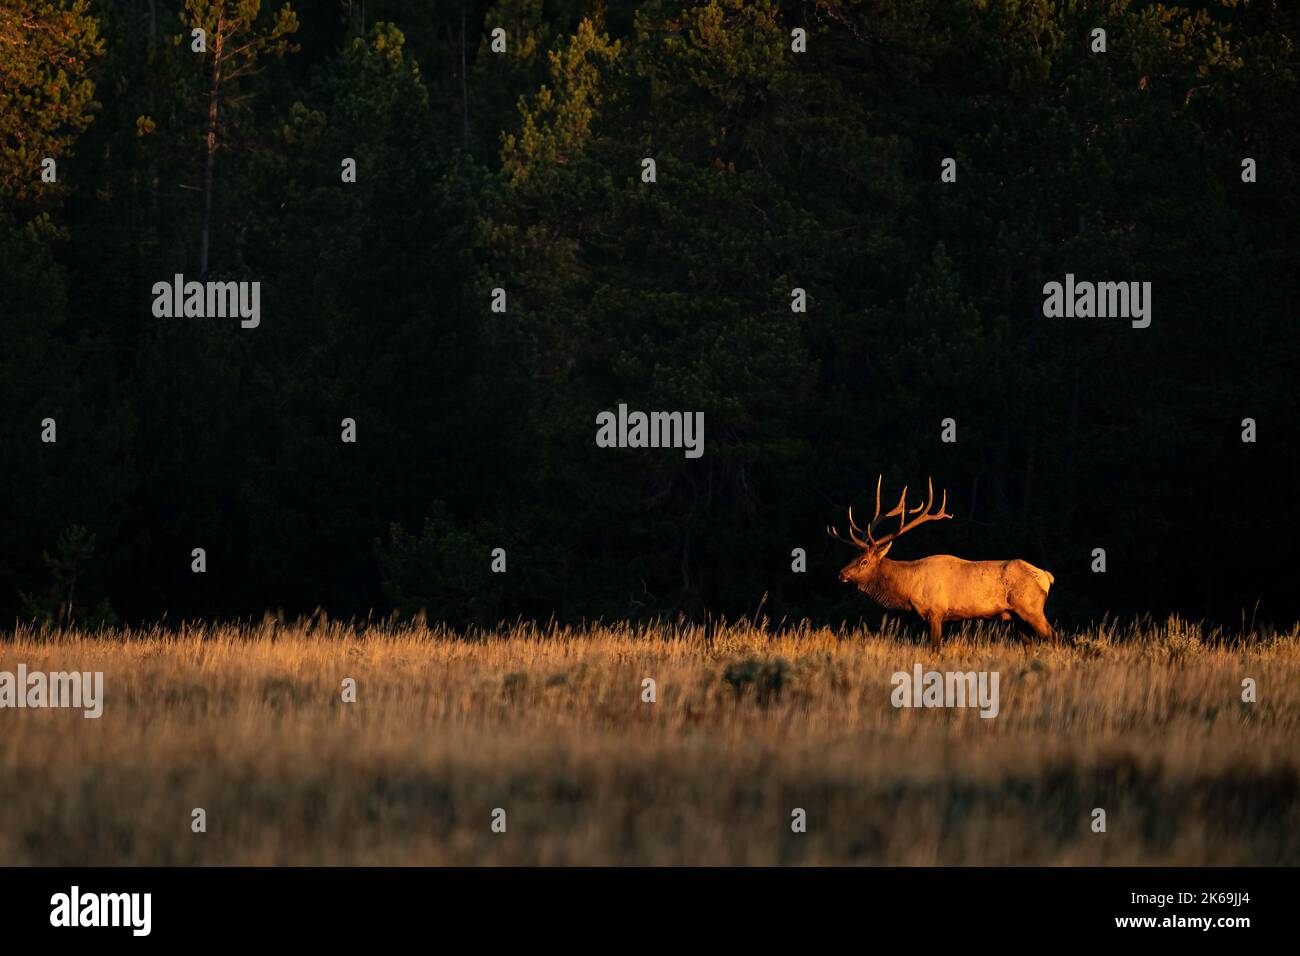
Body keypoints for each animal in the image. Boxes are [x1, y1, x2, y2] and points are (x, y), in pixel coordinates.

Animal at [829, 476, 1056, 649]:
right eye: (853, 557)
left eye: (864, 561)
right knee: (1029, 644)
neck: (909, 588)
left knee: (1053, 636)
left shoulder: (935, 612)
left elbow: (935, 649)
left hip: (1032, 609)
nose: (841, 574)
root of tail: (1046, 576)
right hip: (1016, 616)